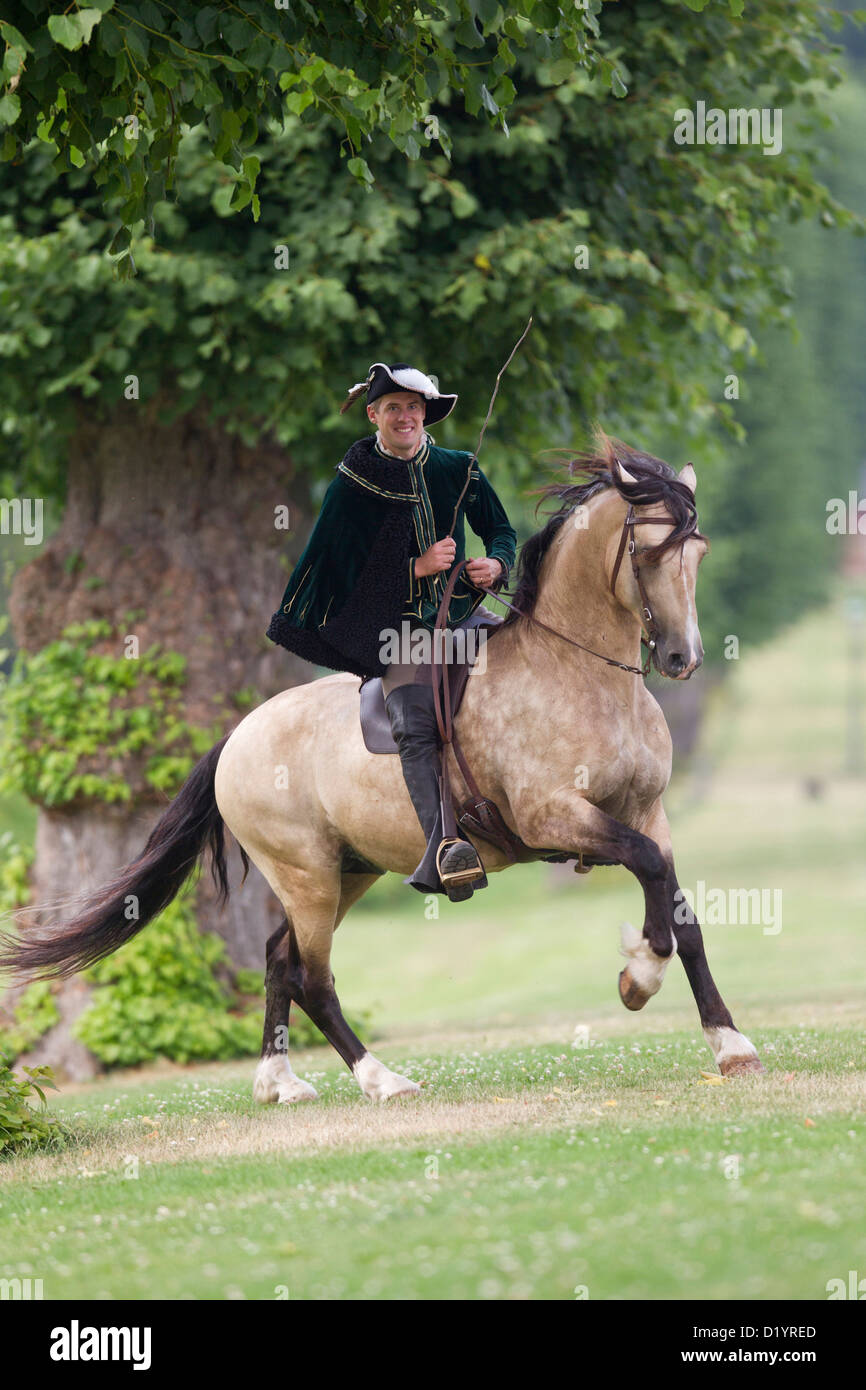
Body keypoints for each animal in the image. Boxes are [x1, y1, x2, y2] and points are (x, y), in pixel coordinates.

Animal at [0, 434, 764, 1102]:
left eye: (698, 548)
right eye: (648, 548)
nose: (682, 658)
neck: (580, 672)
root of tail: (239, 735)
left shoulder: (647, 814)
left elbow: (682, 913)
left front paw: (730, 1045)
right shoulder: (557, 817)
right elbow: (651, 878)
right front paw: (640, 975)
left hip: (348, 871)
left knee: (279, 958)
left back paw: (279, 1084)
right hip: (305, 874)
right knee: (311, 976)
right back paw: (381, 1080)